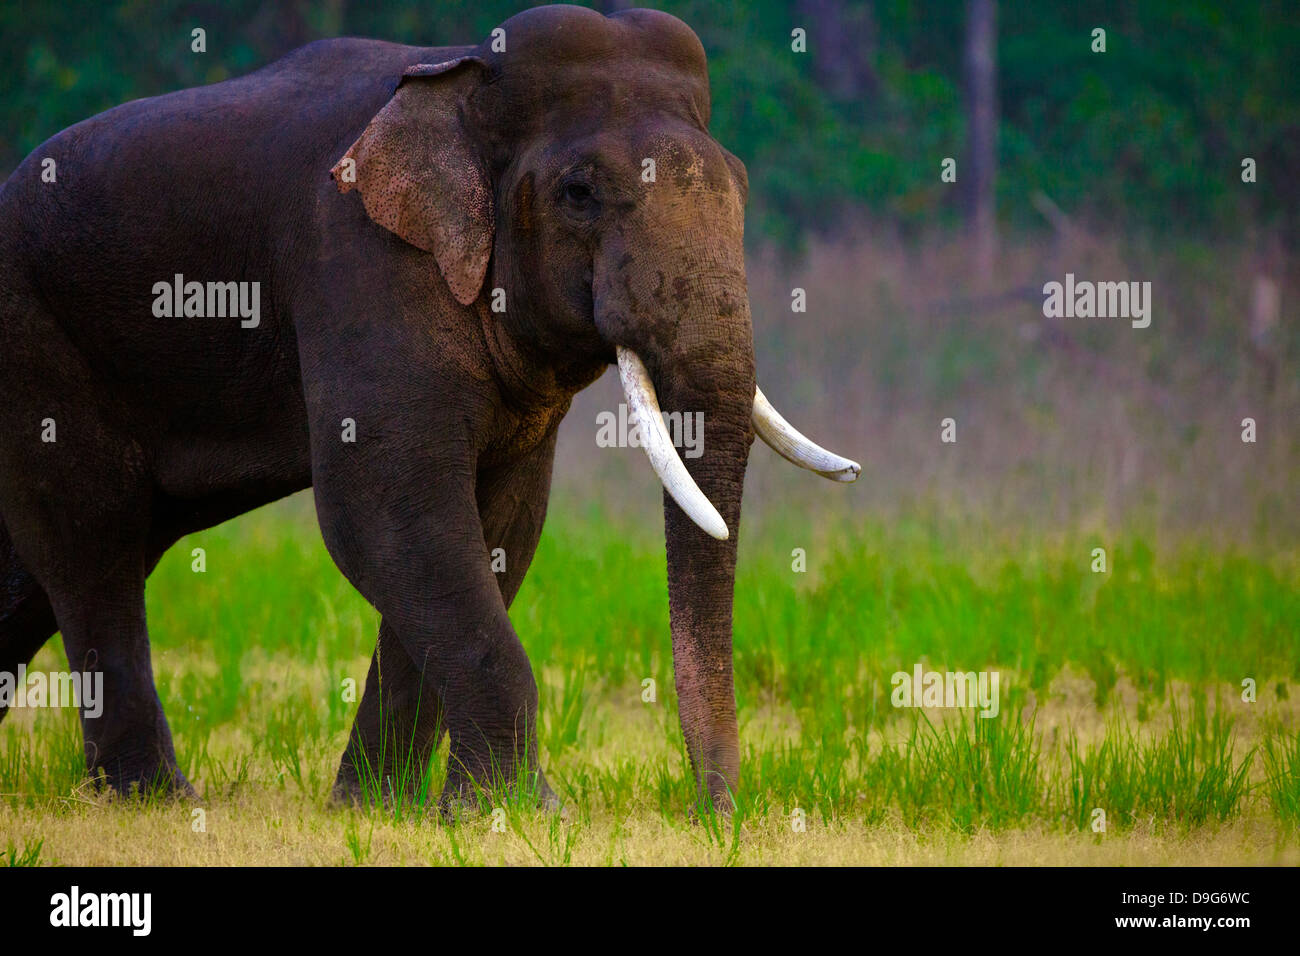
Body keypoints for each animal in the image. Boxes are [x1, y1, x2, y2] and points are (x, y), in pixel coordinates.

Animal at [0, 4, 857, 812]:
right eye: (579, 194)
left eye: (740, 186)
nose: (714, 812)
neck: (463, 74)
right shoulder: (356, 260)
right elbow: (388, 511)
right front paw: (519, 811)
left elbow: (499, 524)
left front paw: (383, 809)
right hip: (37, 347)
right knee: (95, 540)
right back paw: (157, 798)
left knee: (46, 569)